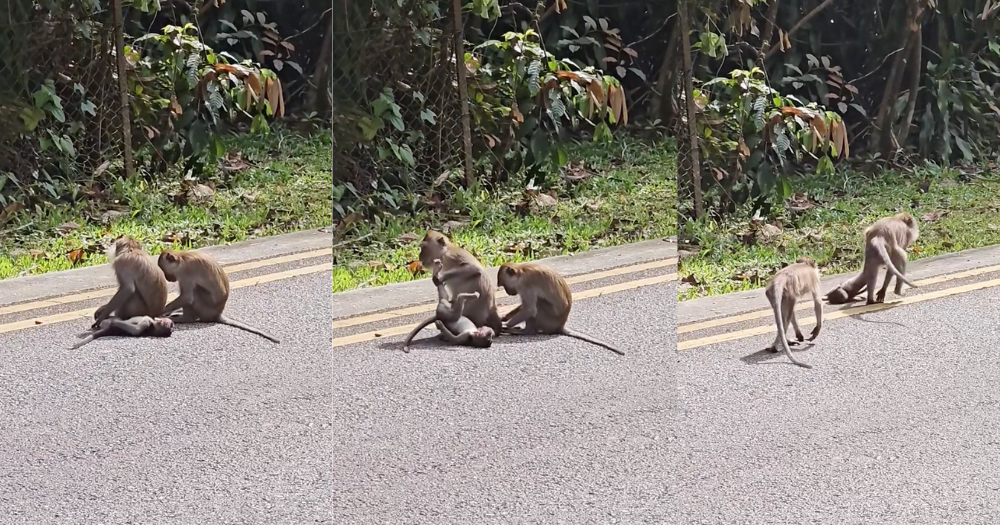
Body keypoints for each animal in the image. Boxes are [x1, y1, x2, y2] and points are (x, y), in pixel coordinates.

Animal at [496, 261, 625, 356]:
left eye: (504, 285)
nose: (508, 292)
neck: (521, 271)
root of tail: (560, 326)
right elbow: (524, 307)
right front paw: (504, 318)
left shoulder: (526, 284)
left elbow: (529, 310)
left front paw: (505, 325)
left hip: (548, 320)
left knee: (539, 304)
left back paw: (525, 331)